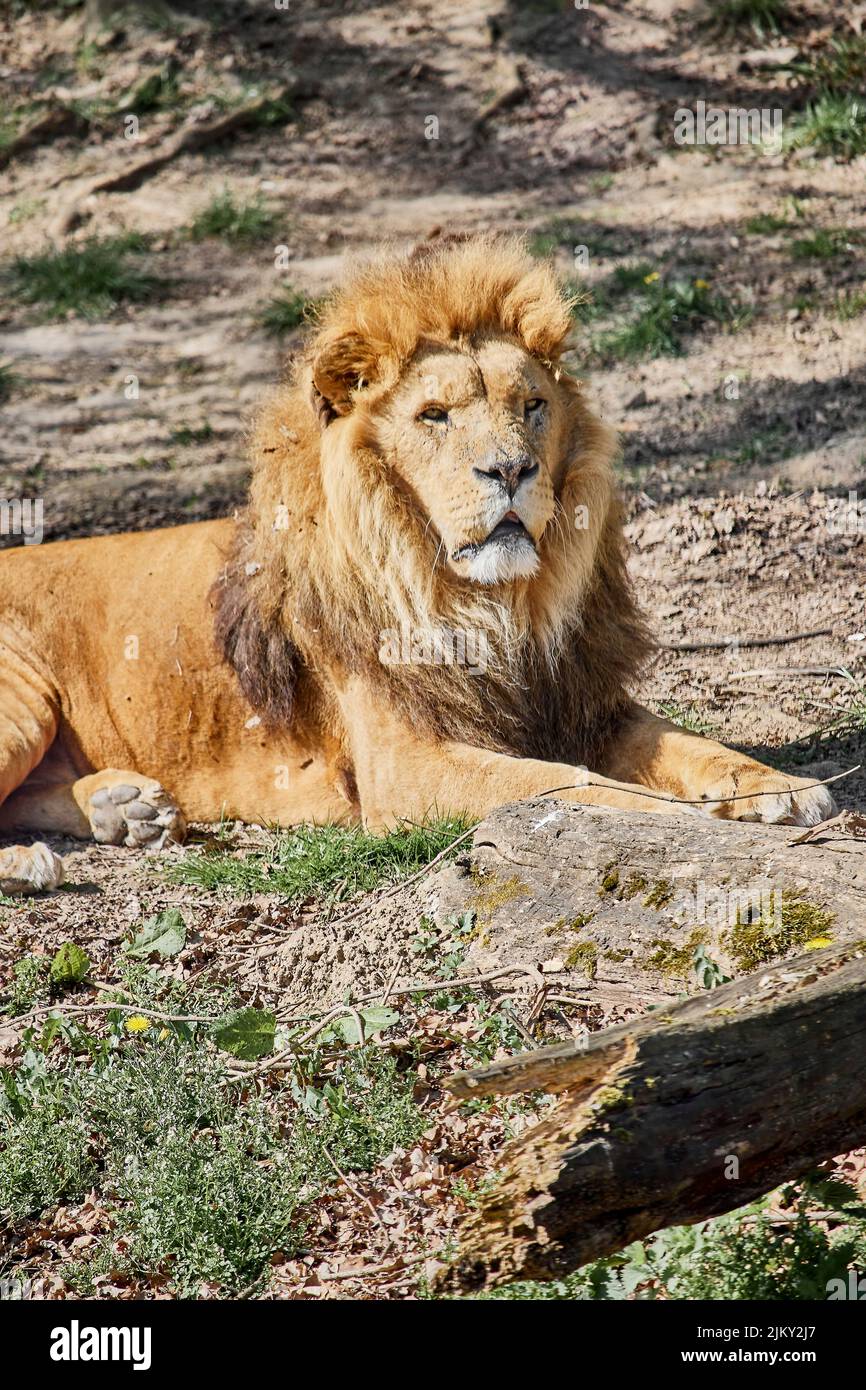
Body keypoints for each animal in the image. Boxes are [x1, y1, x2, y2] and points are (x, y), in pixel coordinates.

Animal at [0, 235, 835, 894]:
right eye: (435, 416)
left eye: (531, 405)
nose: (511, 470)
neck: (493, 601)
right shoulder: (405, 765)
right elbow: (571, 787)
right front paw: (697, 822)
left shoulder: (577, 702)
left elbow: (694, 743)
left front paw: (782, 789)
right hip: (25, 698)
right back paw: (36, 862)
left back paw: (125, 809)